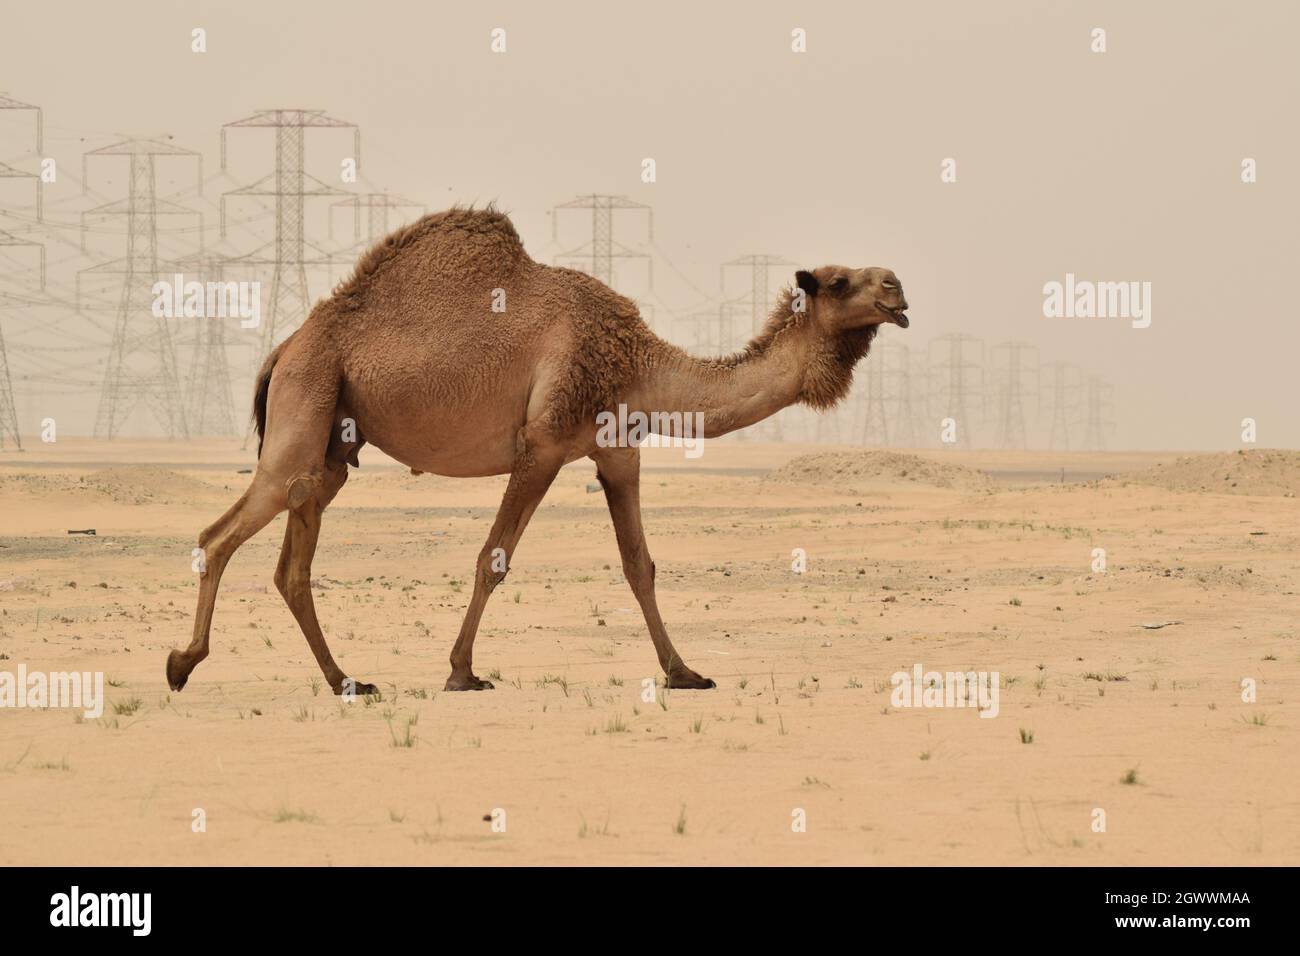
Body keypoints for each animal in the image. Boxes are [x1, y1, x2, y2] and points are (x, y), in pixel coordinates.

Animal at [167, 206, 908, 695]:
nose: (897, 289)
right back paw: (182, 663)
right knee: (221, 531)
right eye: (839, 282)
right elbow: (492, 558)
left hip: (330, 439)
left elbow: (640, 566)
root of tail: (285, 347)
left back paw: (346, 680)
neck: (633, 358)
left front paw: (685, 672)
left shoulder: (618, 449)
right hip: (306, 402)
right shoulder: (544, 444)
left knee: (293, 561)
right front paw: (463, 672)